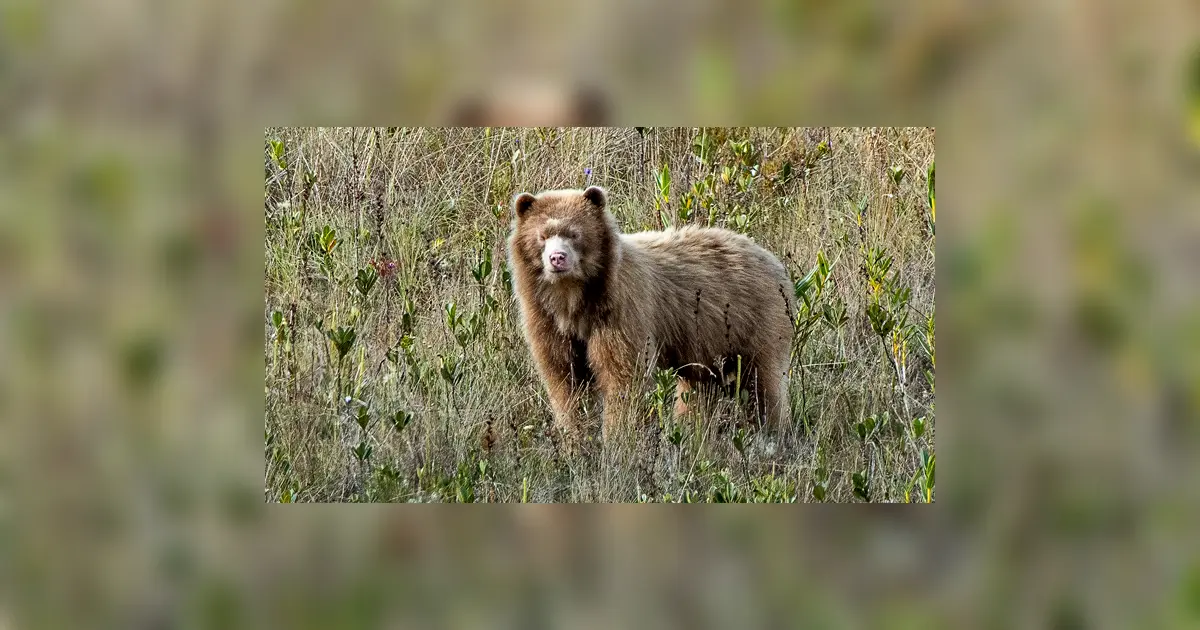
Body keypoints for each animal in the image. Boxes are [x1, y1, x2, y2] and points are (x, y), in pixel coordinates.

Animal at [507, 186, 795, 444]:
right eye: (542, 235)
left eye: (574, 233)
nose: (557, 258)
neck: (572, 300)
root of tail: (772, 259)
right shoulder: (546, 320)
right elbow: (564, 377)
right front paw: (575, 437)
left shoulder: (622, 310)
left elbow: (623, 375)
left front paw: (616, 439)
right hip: (708, 343)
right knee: (698, 391)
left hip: (756, 320)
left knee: (762, 382)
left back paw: (771, 434)